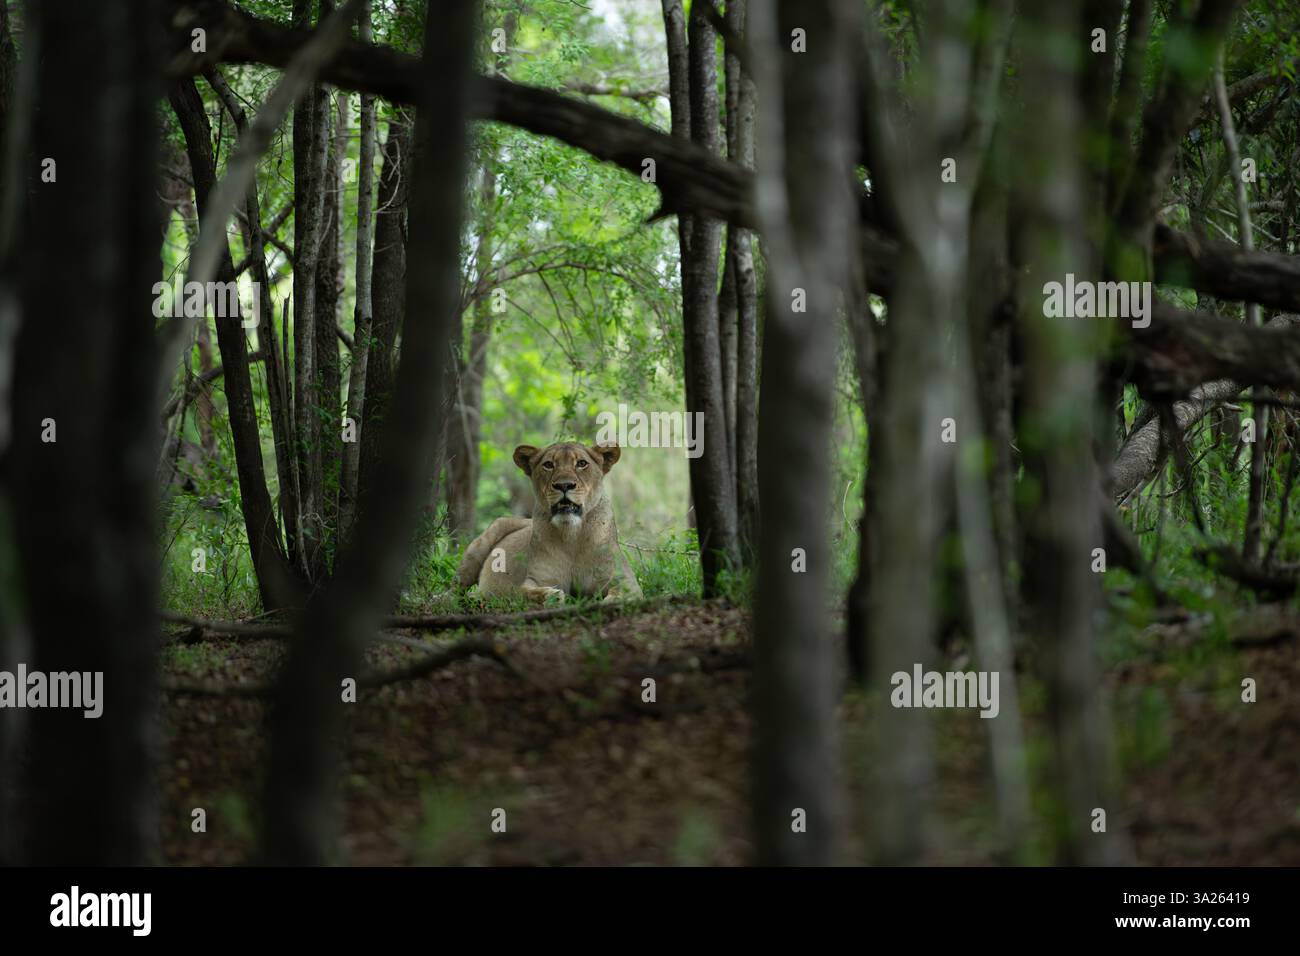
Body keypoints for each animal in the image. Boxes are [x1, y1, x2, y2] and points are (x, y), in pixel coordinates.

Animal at [456, 441, 643, 604]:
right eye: (548, 465)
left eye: (582, 463)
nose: (564, 485)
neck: (571, 535)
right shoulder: (535, 578)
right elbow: (523, 591)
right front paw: (551, 595)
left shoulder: (623, 579)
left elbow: (624, 593)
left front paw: (611, 602)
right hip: (483, 541)